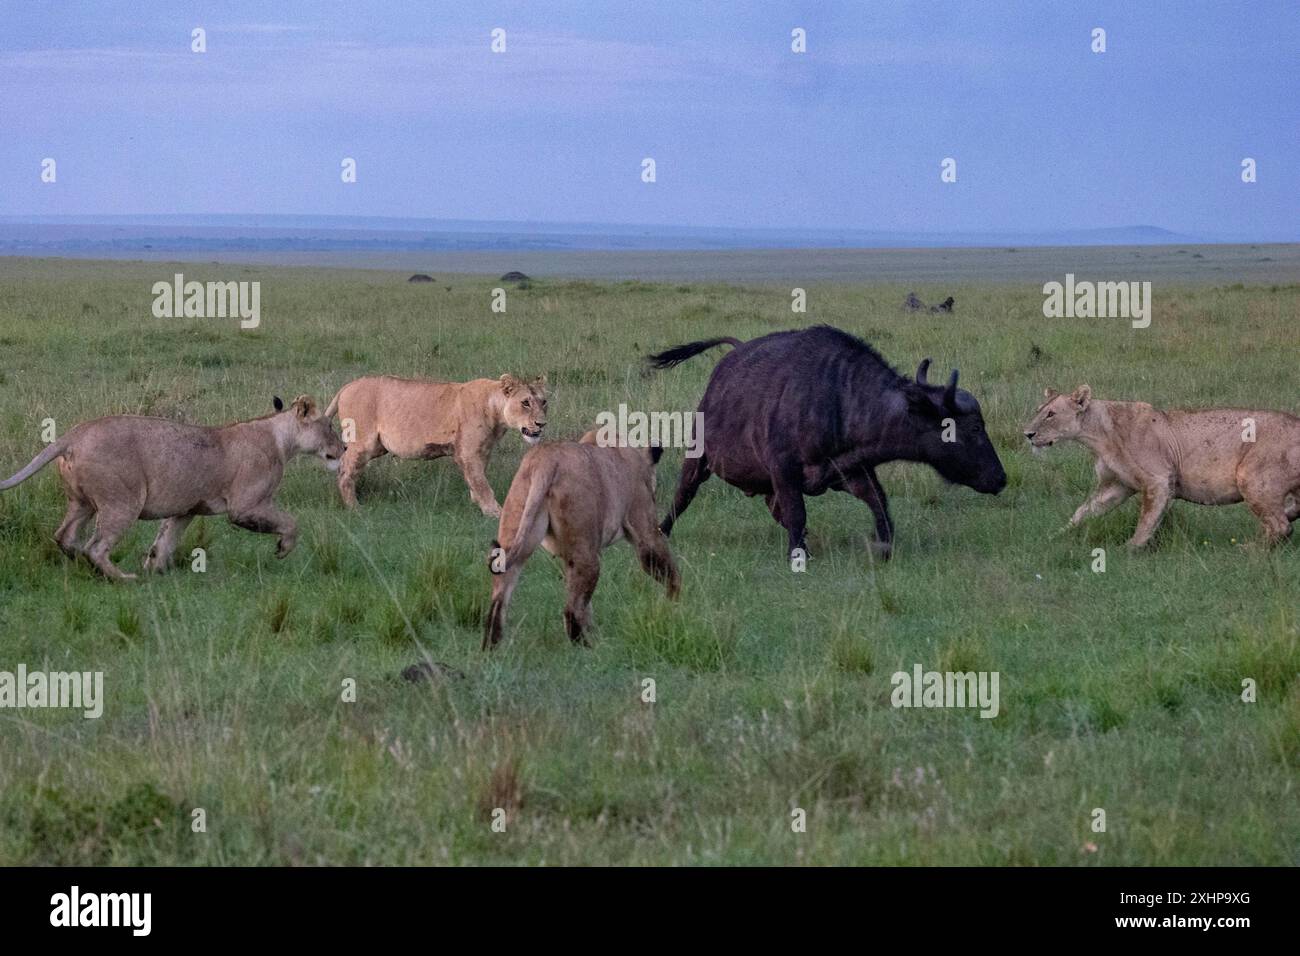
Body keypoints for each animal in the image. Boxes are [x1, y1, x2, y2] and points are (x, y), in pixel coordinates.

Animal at [0, 396, 344, 580]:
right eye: (329, 426)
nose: (343, 448)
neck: (281, 438)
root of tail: (73, 434)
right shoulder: (244, 506)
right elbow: (290, 522)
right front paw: (283, 548)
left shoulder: (185, 509)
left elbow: (164, 542)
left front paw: (155, 569)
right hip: (122, 502)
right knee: (95, 547)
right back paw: (122, 578)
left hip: (81, 502)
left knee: (66, 536)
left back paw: (83, 566)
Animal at [326, 374, 548, 515]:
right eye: (525, 402)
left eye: (544, 402)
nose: (542, 424)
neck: (495, 410)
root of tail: (347, 386)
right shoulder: (467, 452)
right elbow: (482, 483)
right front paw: (495, 512)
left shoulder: (483, 452)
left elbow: (476, 480)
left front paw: (476, 502)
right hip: (363, 442)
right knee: (345, 469)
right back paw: (354, 507)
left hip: (378, 446)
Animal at [483, 429, 680, 649]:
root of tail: (545, 461)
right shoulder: (646, 531)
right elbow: (669, 571)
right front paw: (674, 606)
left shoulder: (568, 558)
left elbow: (585, 603)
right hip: (587, 554)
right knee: (570, 610)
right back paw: (588, 650)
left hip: (517, 528)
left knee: (499, 598)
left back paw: (491, 648)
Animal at [1024, 385, 1300, 549]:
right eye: (1039, 411)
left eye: (1051, 414)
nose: (1027, 434)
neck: (1097, 436)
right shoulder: (1116, 486)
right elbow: (1083, 512)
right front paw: (1054, 537)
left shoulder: (1158, 478)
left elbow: (1147, 519)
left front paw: (1129, 550)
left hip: (1251, 477)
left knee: (1281, 526)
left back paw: (1248, 548)